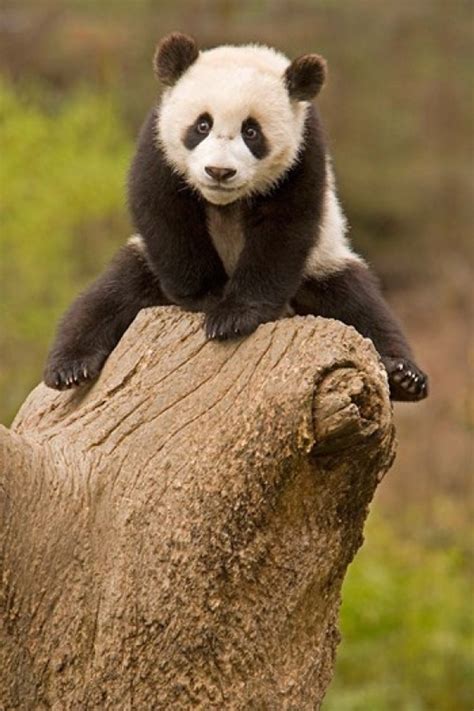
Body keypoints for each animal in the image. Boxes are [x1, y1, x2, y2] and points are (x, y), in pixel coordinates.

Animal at [44, 32, 428, 402]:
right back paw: (70, 367)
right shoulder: (158, 143)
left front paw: (232, 316)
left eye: (251, 131)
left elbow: (284, 230)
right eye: (202, 125)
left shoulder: (303, 154)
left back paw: (404, 376)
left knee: (359, 305)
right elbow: (164, 213)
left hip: (322, 264)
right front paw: (209, 298)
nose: (219, 171)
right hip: (144, 267)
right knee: (106, 299)